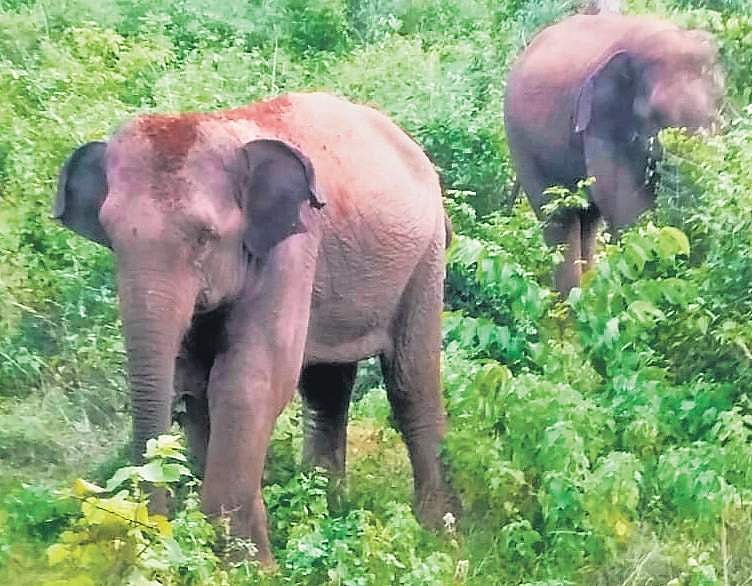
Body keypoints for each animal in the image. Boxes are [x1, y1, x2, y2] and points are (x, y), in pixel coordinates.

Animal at [52, 92, 455, 563]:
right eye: (111, 237)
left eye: (204, 236)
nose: (154, 530)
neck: (223, 127)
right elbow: (196, 383)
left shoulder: (293, 246)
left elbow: (248, 379)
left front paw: (245, 564)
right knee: (327, 389)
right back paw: (328, 515)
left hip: (425, 257)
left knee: (410, 380)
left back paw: (441, 532)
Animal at [504, 14, 723, 296]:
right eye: (655, 116)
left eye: (716, 110)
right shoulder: (603, 123)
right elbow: (629, 211)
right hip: (521, 143)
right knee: (559, 218)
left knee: (587, 219)